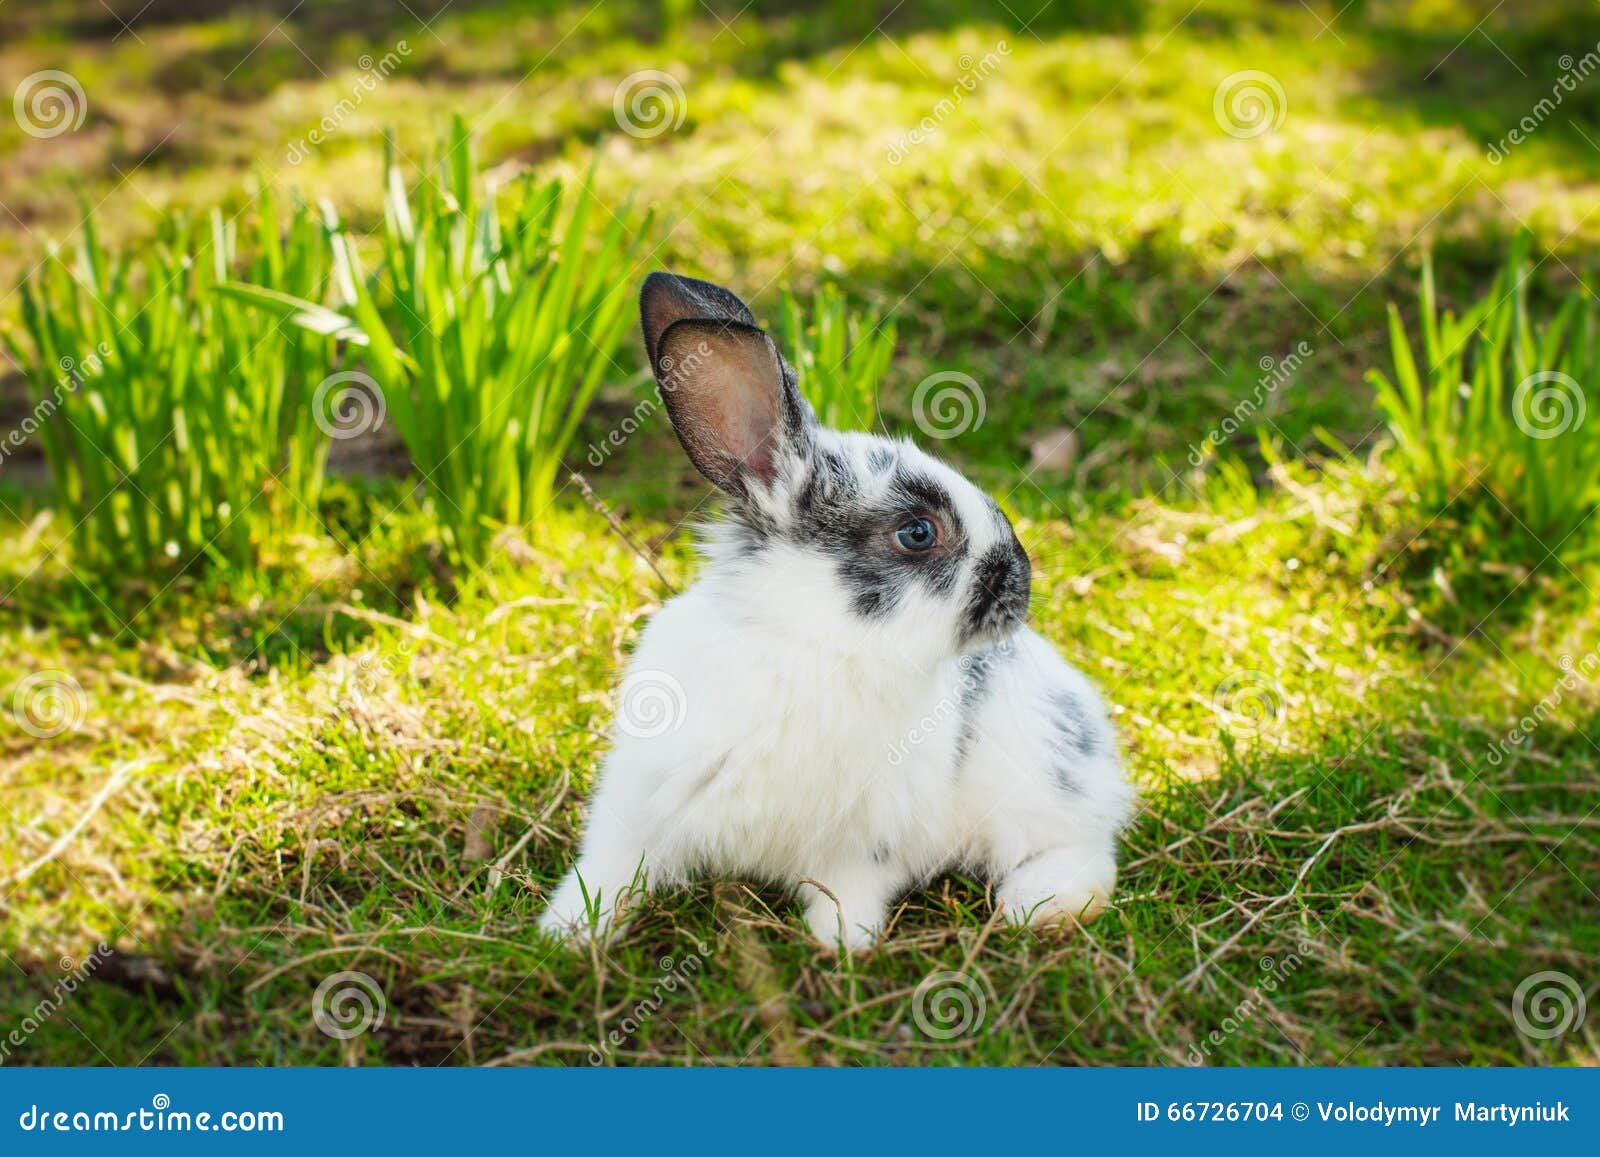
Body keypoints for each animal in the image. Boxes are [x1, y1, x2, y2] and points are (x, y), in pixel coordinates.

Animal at [539, 272, 1135, 951]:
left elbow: (845, 889)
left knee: (1085, 849)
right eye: (918, 533)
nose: (1022, 584)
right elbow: (609, 868)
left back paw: (1038, 907)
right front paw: (567, 932)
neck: (810, 643)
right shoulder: (639, 801)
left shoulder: (863, 841)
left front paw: (843, 944)